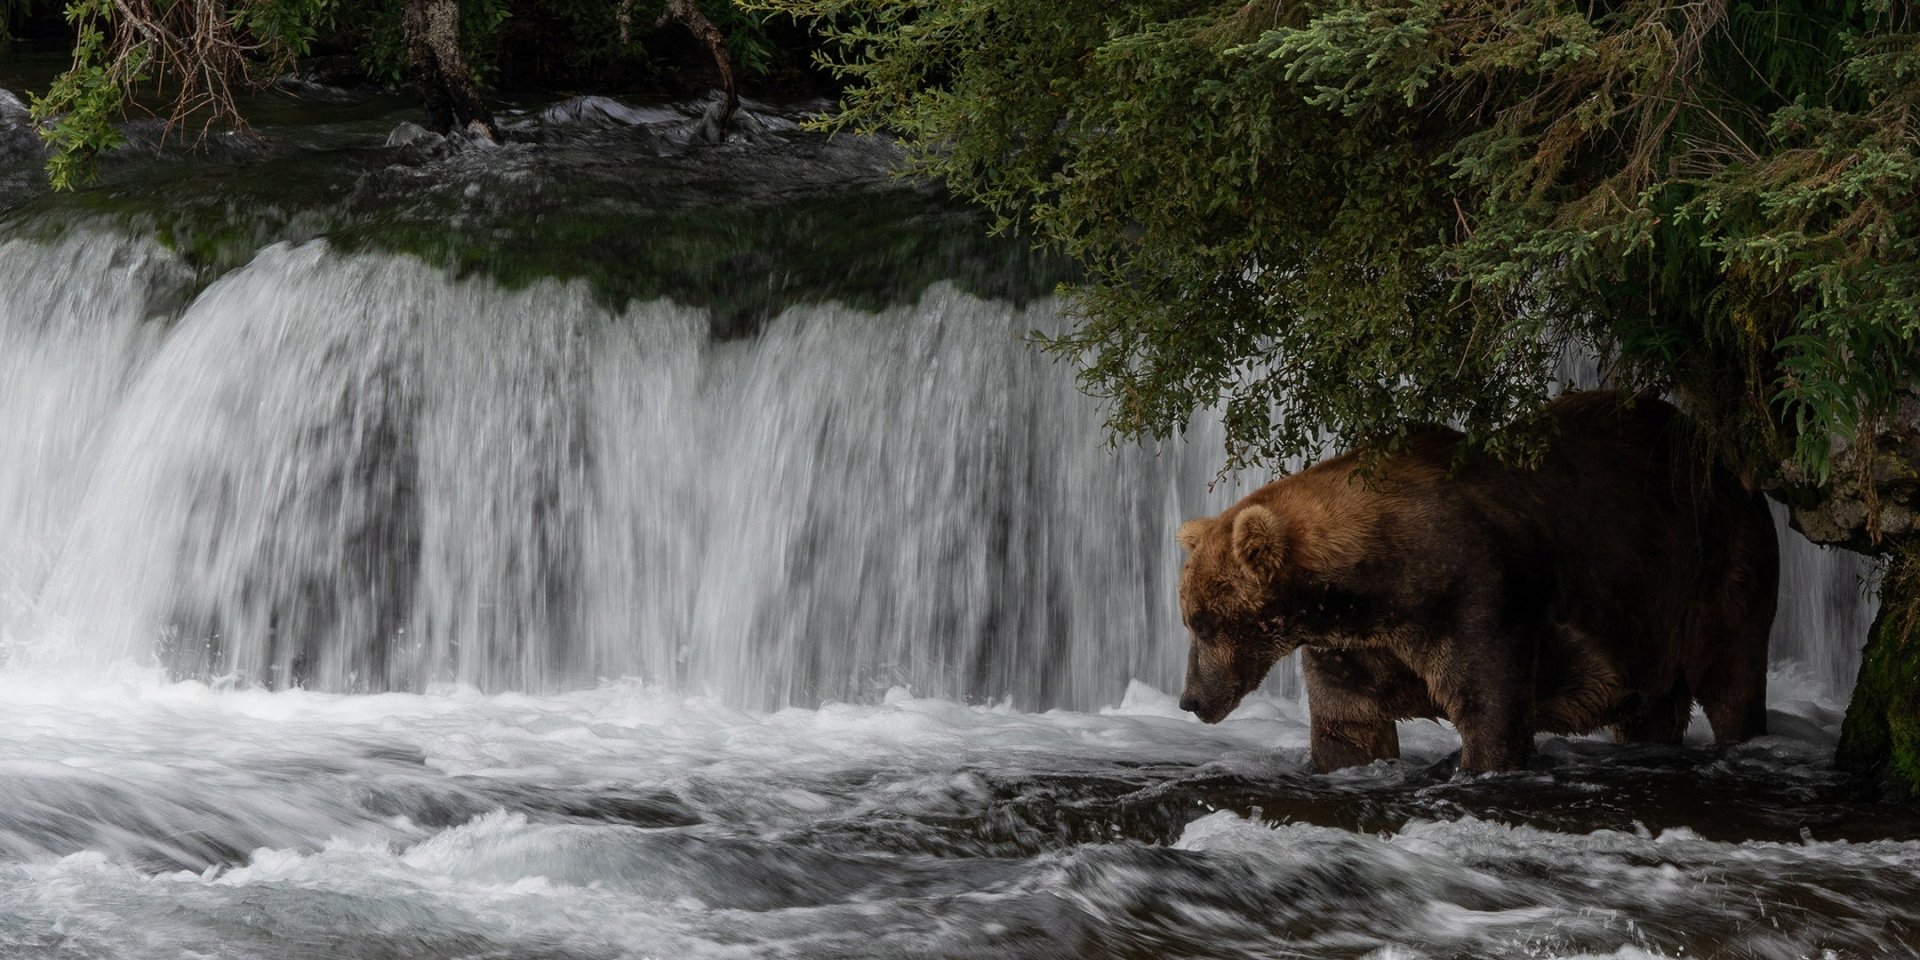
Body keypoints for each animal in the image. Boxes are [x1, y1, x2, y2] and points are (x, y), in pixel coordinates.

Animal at [1173, 391, 1778, 772]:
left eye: (1204, 622)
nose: (1189, 699)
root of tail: (1724, 460)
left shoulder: (1477, 594)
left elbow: (1490, 711)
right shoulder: (1348, 645)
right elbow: (1349, 727)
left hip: (1714, 567)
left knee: (1731, 674)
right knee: (1653, 707)